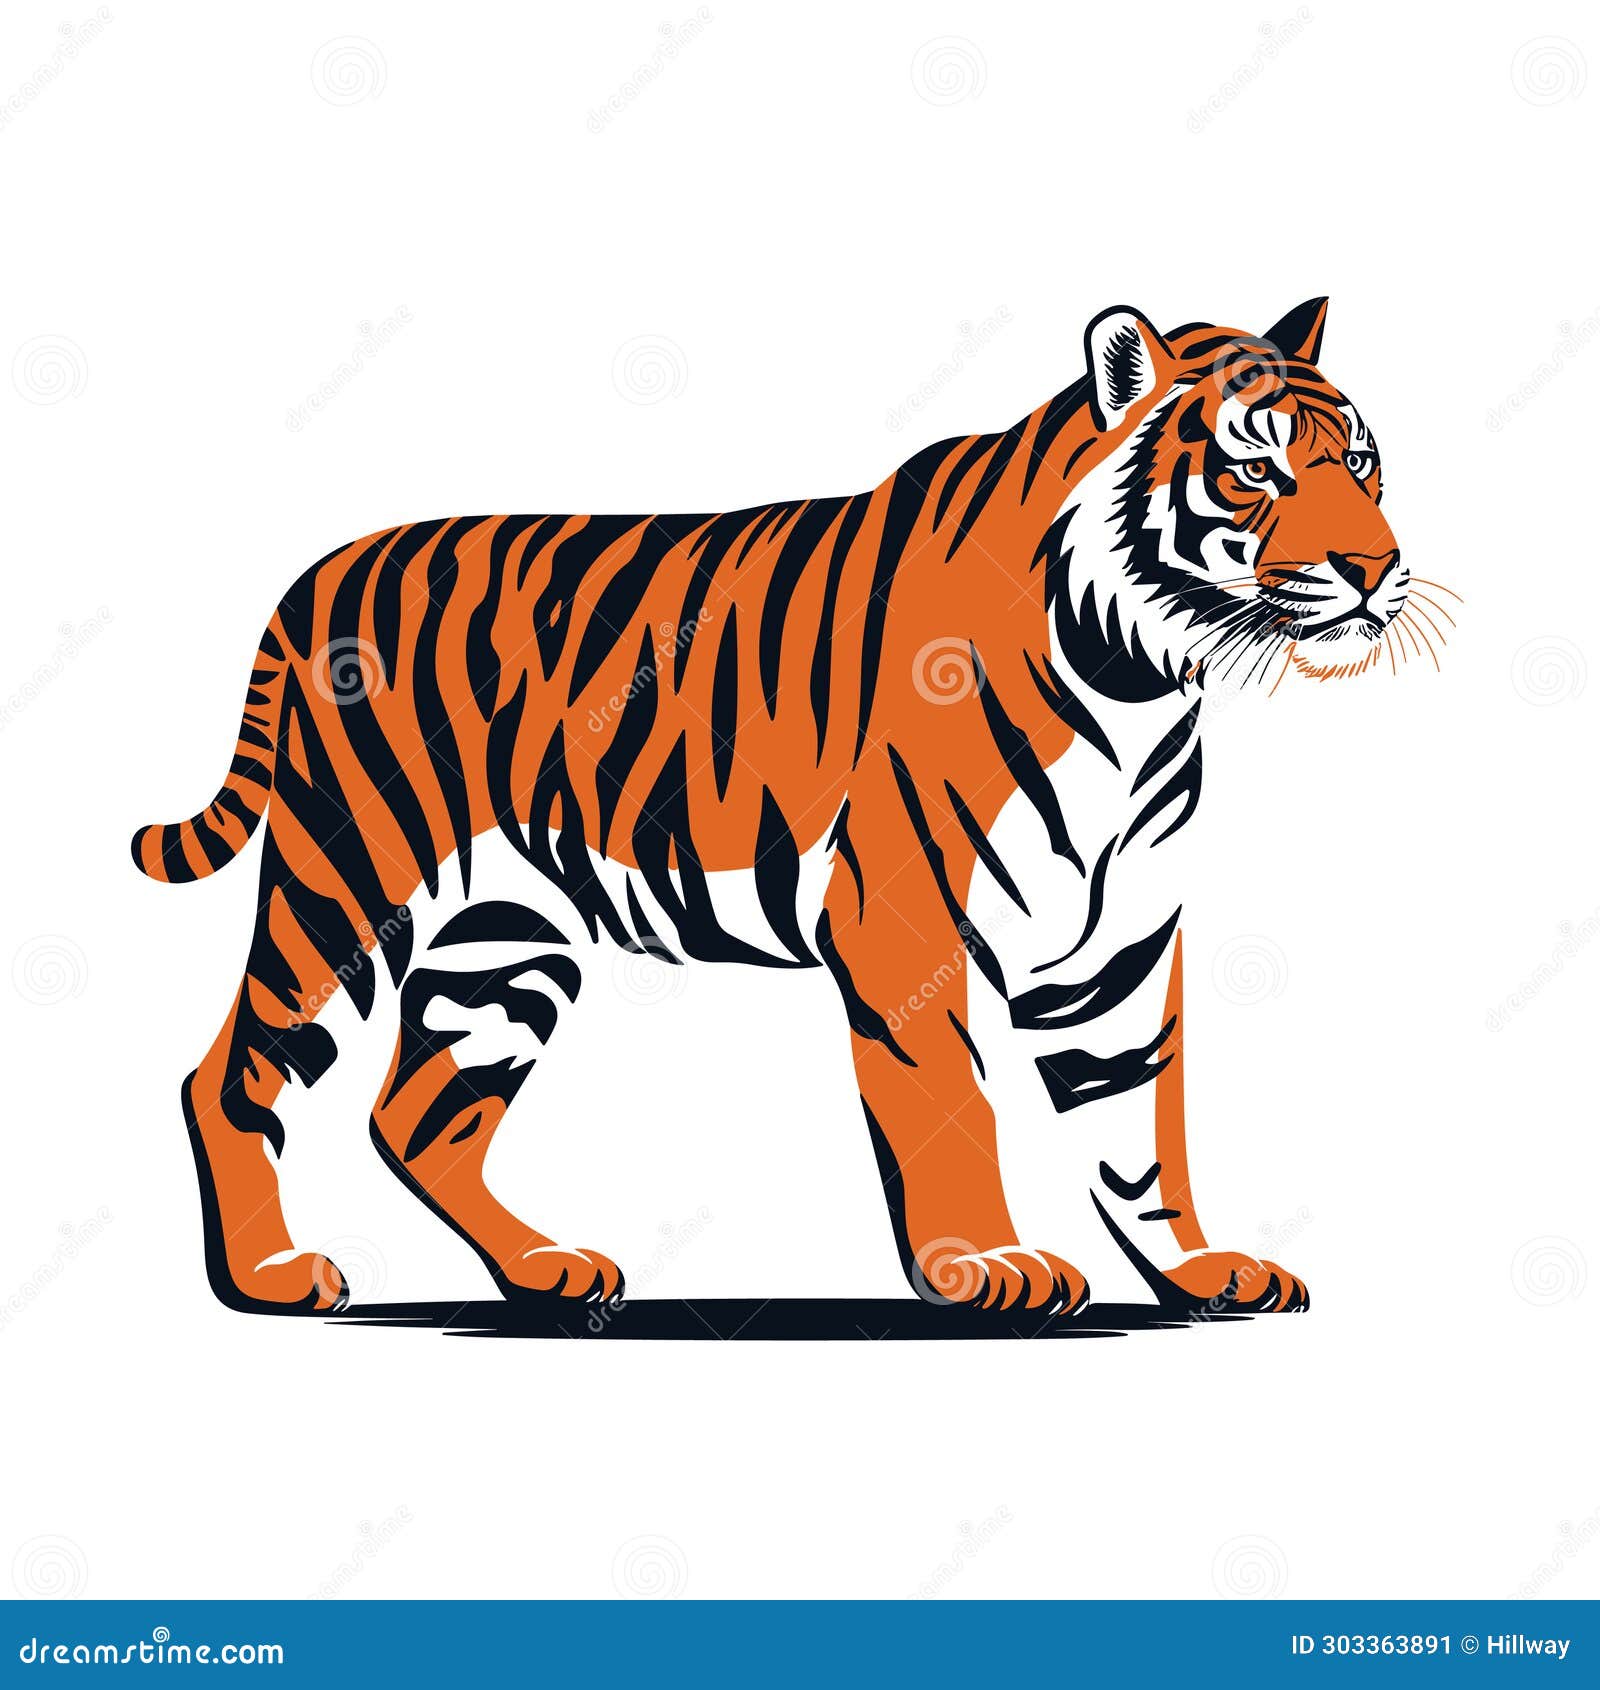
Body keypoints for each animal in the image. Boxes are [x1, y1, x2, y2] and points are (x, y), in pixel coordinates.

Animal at [133, 296, 1445, 1320]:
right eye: (1255, 470)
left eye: (1361, 464)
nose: (1377, 569)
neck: (1137, 677)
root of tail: (317, 573)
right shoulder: (905, 914)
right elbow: (950, 1099)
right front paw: (990, 1265)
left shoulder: (1116, 939)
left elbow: (1141, 1122)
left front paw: (1199, 1270)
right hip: (353, 877)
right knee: (233, 1071)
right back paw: (270, 1275)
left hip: (507, 938)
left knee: (418, 1114)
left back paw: (546, 1268)